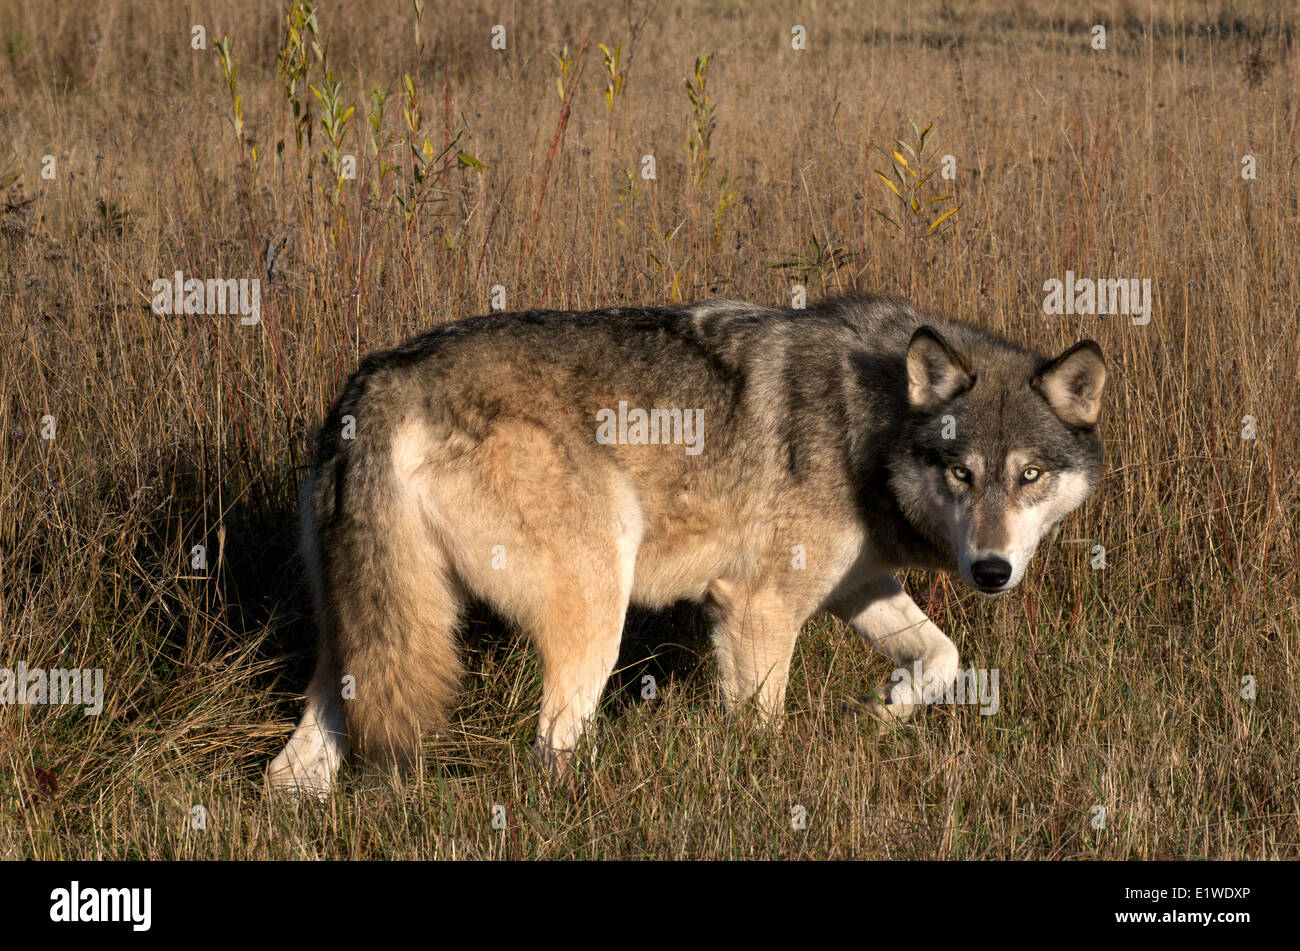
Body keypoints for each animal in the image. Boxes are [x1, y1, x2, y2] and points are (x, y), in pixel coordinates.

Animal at [267, 295, 1106, 796]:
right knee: (550, 751)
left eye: (1029, 475)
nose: (992, 570)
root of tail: (380, 382)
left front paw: (884, 709)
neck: (868, 422)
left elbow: (943, 656)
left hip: (368, 645)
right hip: (595, 613)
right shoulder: (759, 609)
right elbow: (762, 730)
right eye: (963, 472)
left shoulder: (851, 586)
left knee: (291, 768)